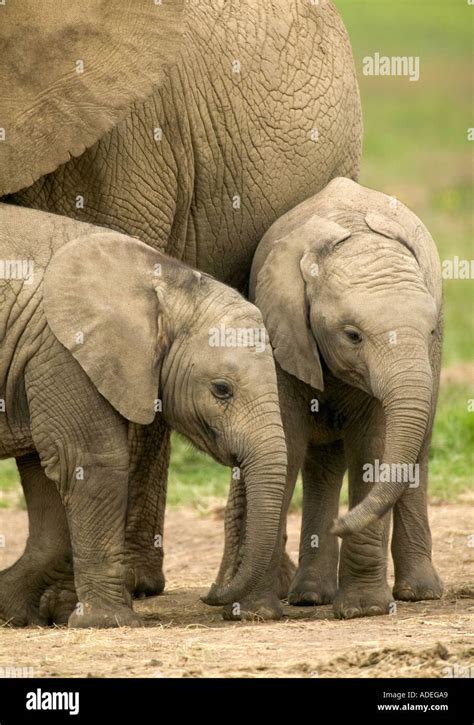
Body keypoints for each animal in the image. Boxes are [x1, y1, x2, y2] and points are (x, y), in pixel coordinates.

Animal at [0, 202, 287, 628]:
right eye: (222, 390)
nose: (210, 596)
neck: (164, 281)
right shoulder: (63, 351)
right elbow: (89, 462)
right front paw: (109, 622)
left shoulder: (37, 358)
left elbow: (47, 472)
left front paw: (13, 610)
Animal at [213, 177, 444, 620]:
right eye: (352, 335)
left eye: (429, 332)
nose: (342, 523)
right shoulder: (280, 338)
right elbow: (283, 447)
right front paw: (256, 614)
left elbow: (374, 448)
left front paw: (364, 609)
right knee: (323, 463)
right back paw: (309, 595)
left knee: (417, 450)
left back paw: (420, 593)